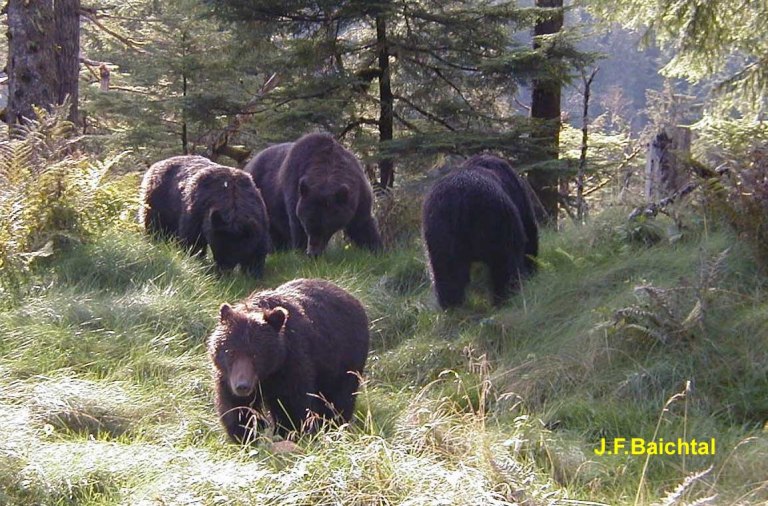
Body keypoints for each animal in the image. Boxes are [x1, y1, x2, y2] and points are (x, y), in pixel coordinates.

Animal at [139, 155, 270, 276]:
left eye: (237, 250)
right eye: (219, 248)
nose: (224, 270)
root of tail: (158, 163)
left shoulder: (259, 217)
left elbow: (258, 250)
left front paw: (253, 272)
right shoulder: (197, 211)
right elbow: (192, 240)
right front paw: (195, 259)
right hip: (157, 203)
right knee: (155, 227)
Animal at [207, 278, 370, 442]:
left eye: (256, 354)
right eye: (230, 352)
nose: (242, 386)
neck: (267, 374)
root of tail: (351, 296)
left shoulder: (291, 364)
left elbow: (290, 406)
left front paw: (290, 432)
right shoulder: (228, 377)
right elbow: (237, 409)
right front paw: (246, 436)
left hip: (345, 358)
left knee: (339, 397)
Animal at [243, 133, 382, 256]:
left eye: (326, 227)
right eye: (307, 225)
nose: (312, 253)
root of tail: (249, 163)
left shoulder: (358, 194)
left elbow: (362, 224)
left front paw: (377, 250)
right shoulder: (295, 188)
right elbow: (295, 225)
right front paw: (300, 251)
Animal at [422, 154, 538, 308]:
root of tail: (460, 201)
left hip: (439, 231)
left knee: (447, 271)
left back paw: (452, 305)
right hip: (495, 219)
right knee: (505, 262)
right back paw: (507, 296)